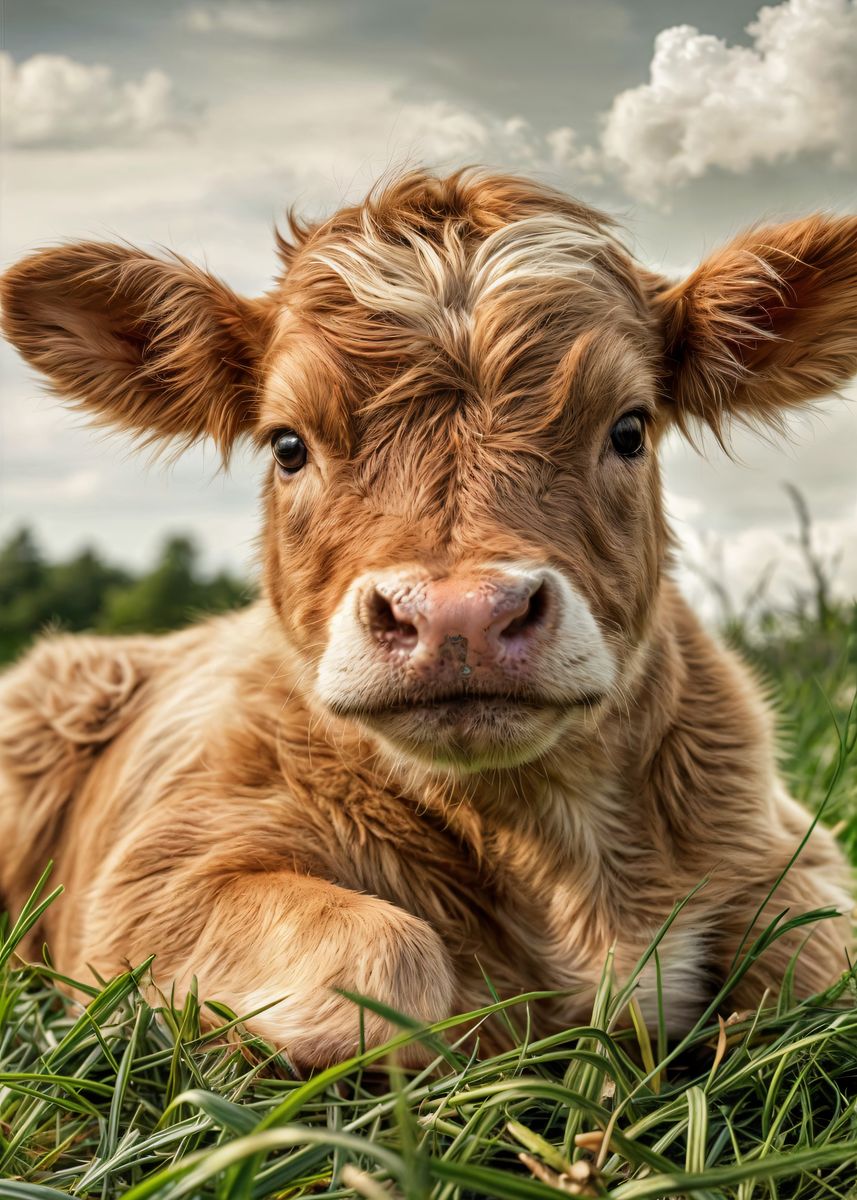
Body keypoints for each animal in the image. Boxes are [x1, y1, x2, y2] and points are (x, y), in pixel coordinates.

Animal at [1, 169, 854, 1068]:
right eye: (287, 445)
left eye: (628, 428)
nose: (460, 618)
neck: (551, 844)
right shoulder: (149, 883)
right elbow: (390, 955)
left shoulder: (791, 849)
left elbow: (812, 963)